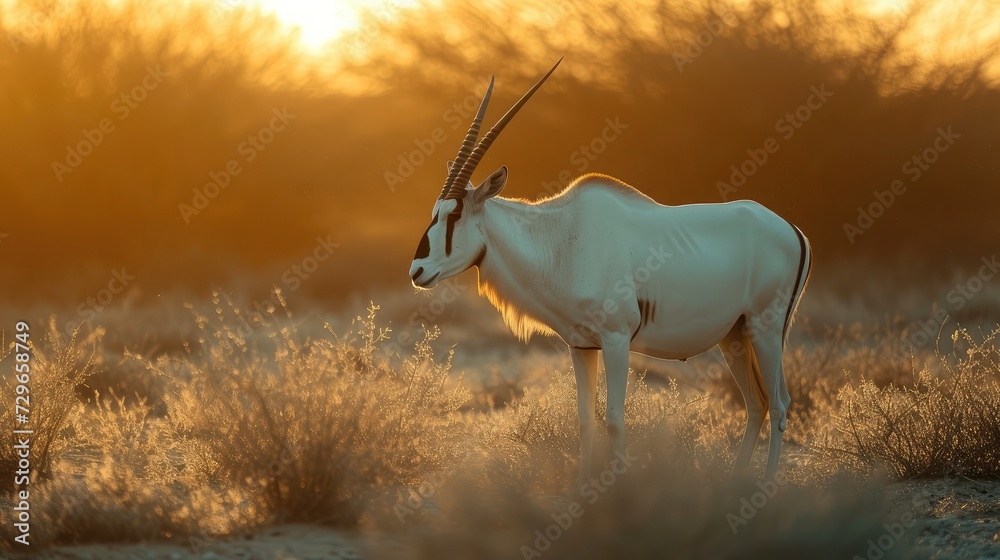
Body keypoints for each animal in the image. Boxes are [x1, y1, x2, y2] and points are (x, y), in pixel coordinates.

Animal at [408, 59, 812, 482]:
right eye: (435, 212)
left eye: (453, 215)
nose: (417, 270)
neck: (561, 237)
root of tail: (792, 230)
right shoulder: (582, 346)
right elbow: (585, 420)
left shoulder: (617, 341)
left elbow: (615, 420)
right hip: (735, 334)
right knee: (757, 403)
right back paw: (736, 482)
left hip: (766, 328)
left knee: (780, 403)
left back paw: (765, 486)